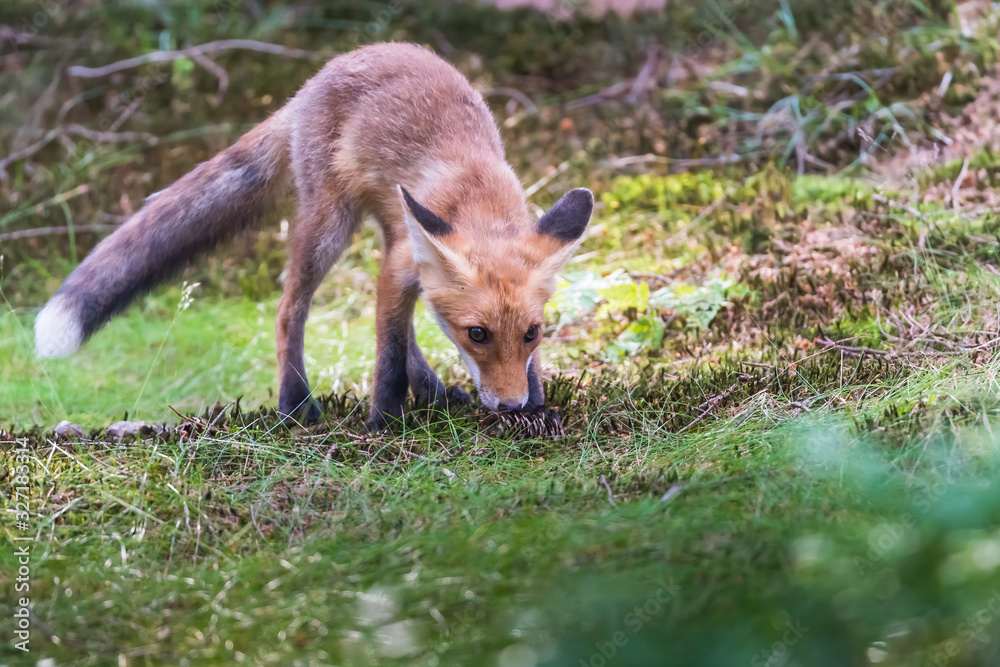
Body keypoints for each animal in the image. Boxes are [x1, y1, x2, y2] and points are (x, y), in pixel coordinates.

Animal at [34, 42, 594, 430]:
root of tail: (312, 82)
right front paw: (384, 423)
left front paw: (537, 408)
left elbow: (407, 335)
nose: (509, 405)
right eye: (477, 334)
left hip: (386, 226)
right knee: (290, 311)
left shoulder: (411, 259)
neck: (478, 200)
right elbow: (388, 355)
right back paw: (295, 404)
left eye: (533, 333)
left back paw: (433, 392)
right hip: (330, 226)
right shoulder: (402, 263)